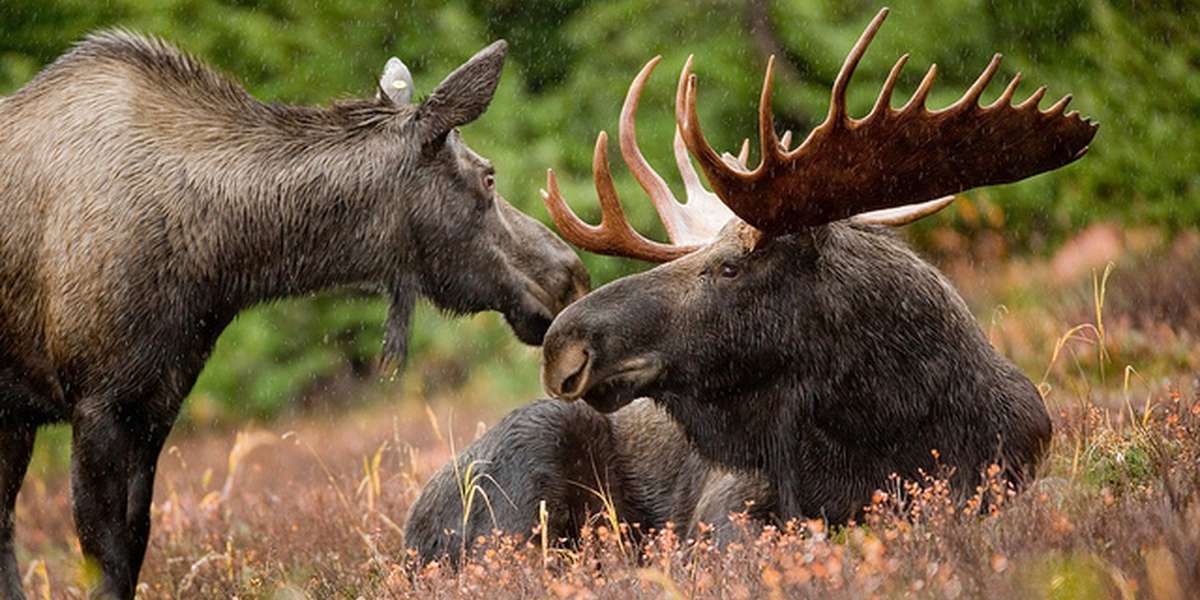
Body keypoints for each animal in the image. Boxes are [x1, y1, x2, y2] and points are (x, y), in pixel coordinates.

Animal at [0, 32, 589, 599]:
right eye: (488, 177)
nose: (571, 273)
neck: (216, 263)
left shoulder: (155, 405)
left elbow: (133, 547)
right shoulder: (96, 404)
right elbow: (104, 563)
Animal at [404, 8, 1097, 566]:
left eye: (731, 267)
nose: (563, 345)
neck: (890, 424)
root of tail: (410, 534)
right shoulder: (730, 504)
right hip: (529, 459)